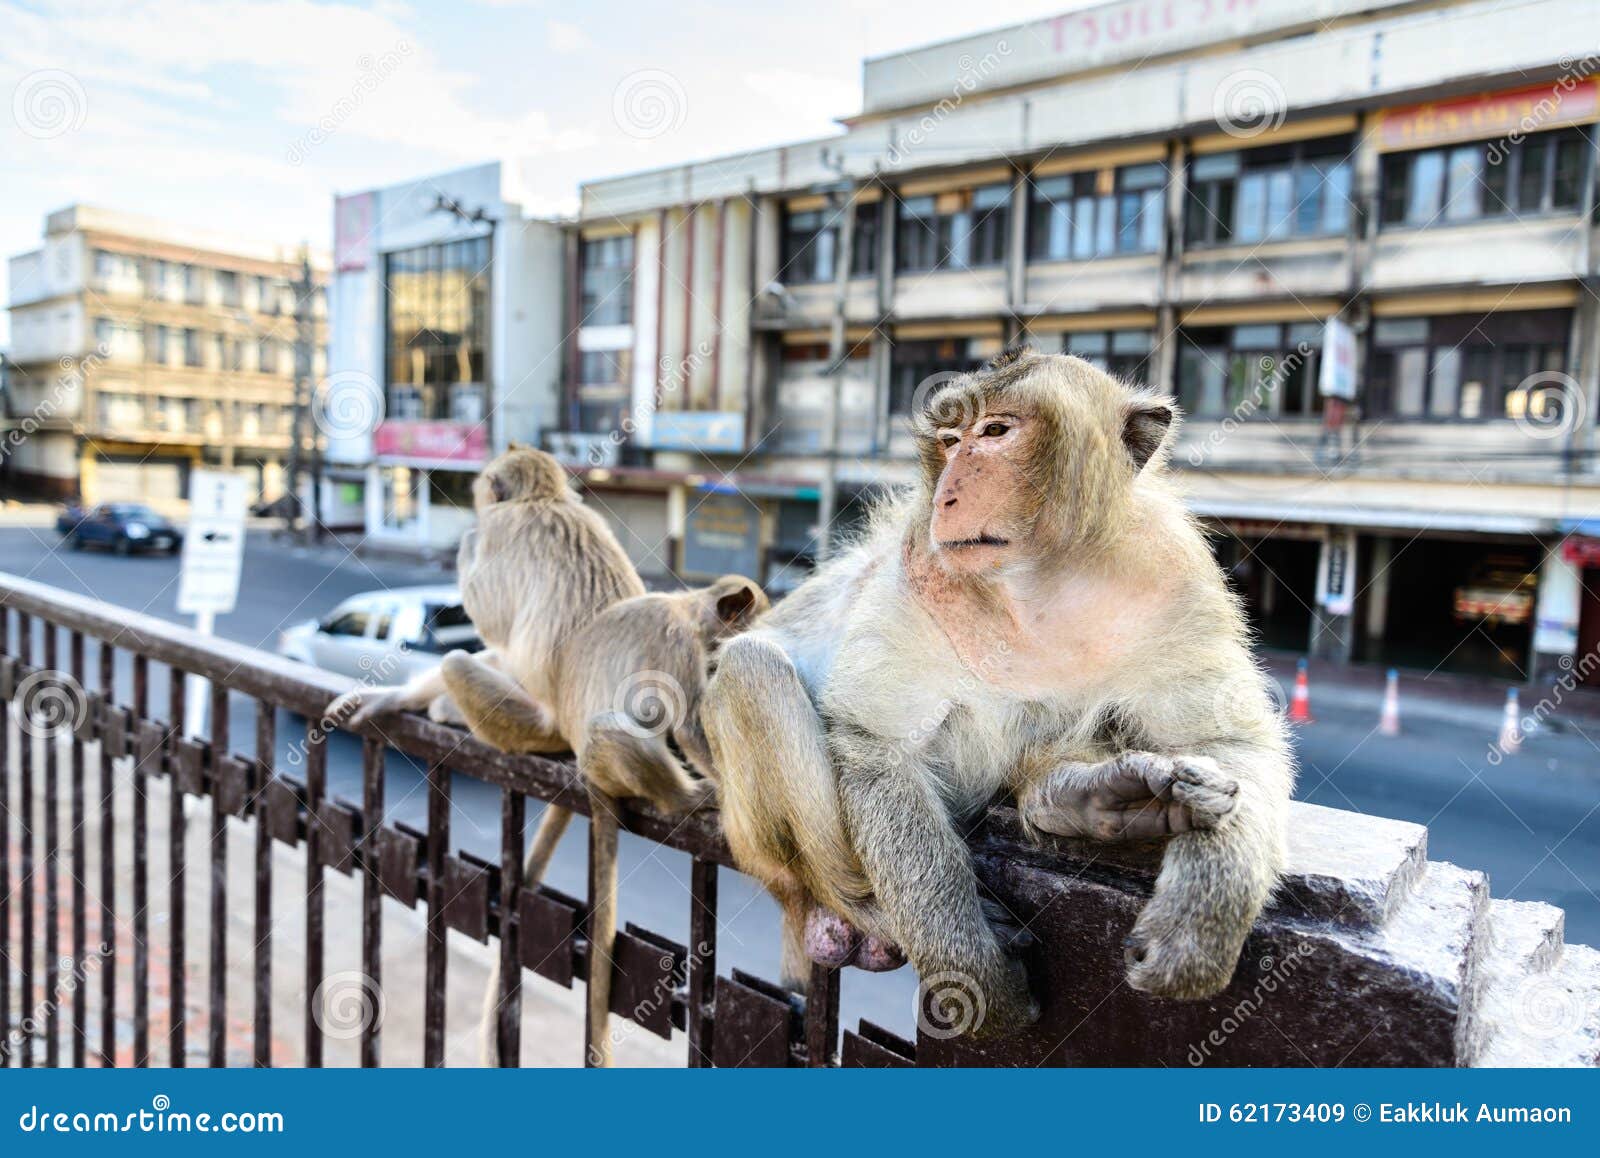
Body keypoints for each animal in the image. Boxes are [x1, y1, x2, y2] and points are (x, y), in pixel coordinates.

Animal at [700, 347, 1293, 1039]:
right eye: (950, 440)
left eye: (995, 432)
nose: (948, 495)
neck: (1039, 586)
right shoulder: (916, 563)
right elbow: (879, 746)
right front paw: (975, 981)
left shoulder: (1175, 576)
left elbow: (1228, 742)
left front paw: (1200, 921)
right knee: (754, 670)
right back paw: (864, 904)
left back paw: (1096, 802)